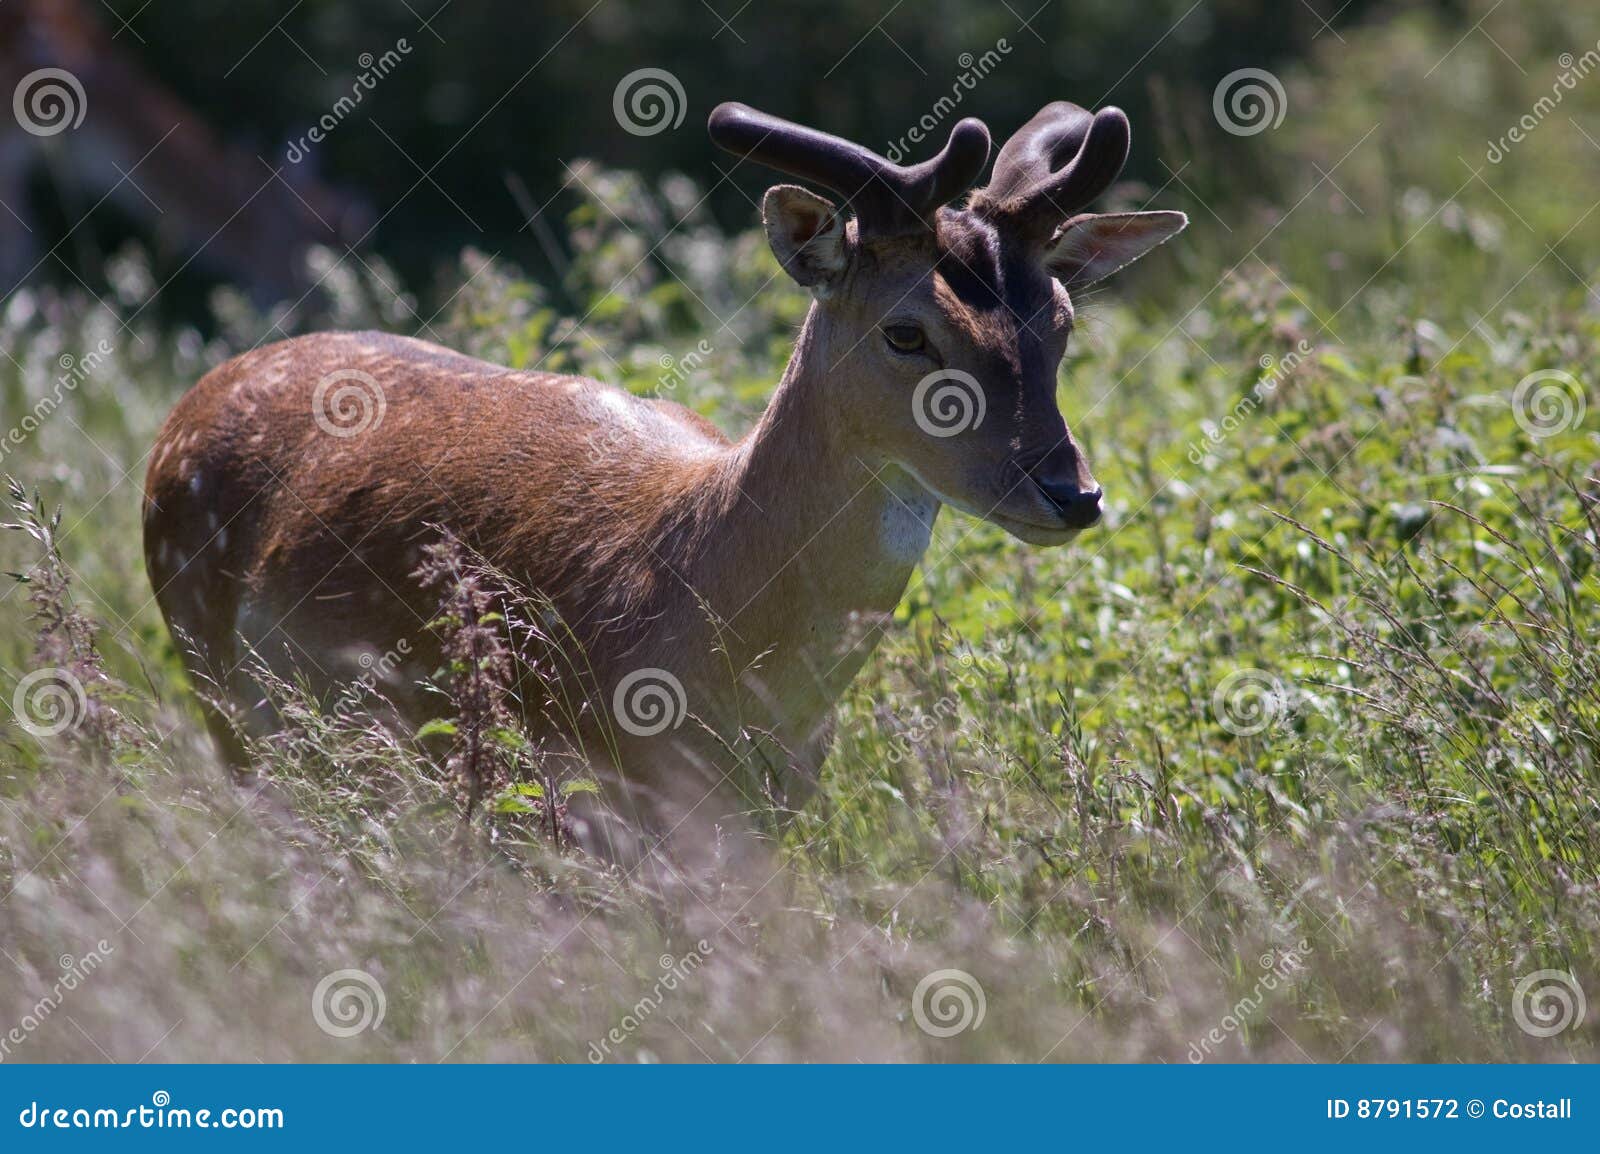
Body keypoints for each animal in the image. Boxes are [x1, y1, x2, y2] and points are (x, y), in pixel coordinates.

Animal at [143, 99, 1185, 863]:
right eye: (906, 331)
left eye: (1060, 319)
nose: (1072, 492)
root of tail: (193, 397)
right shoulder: (590, 801)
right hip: (218, 686)